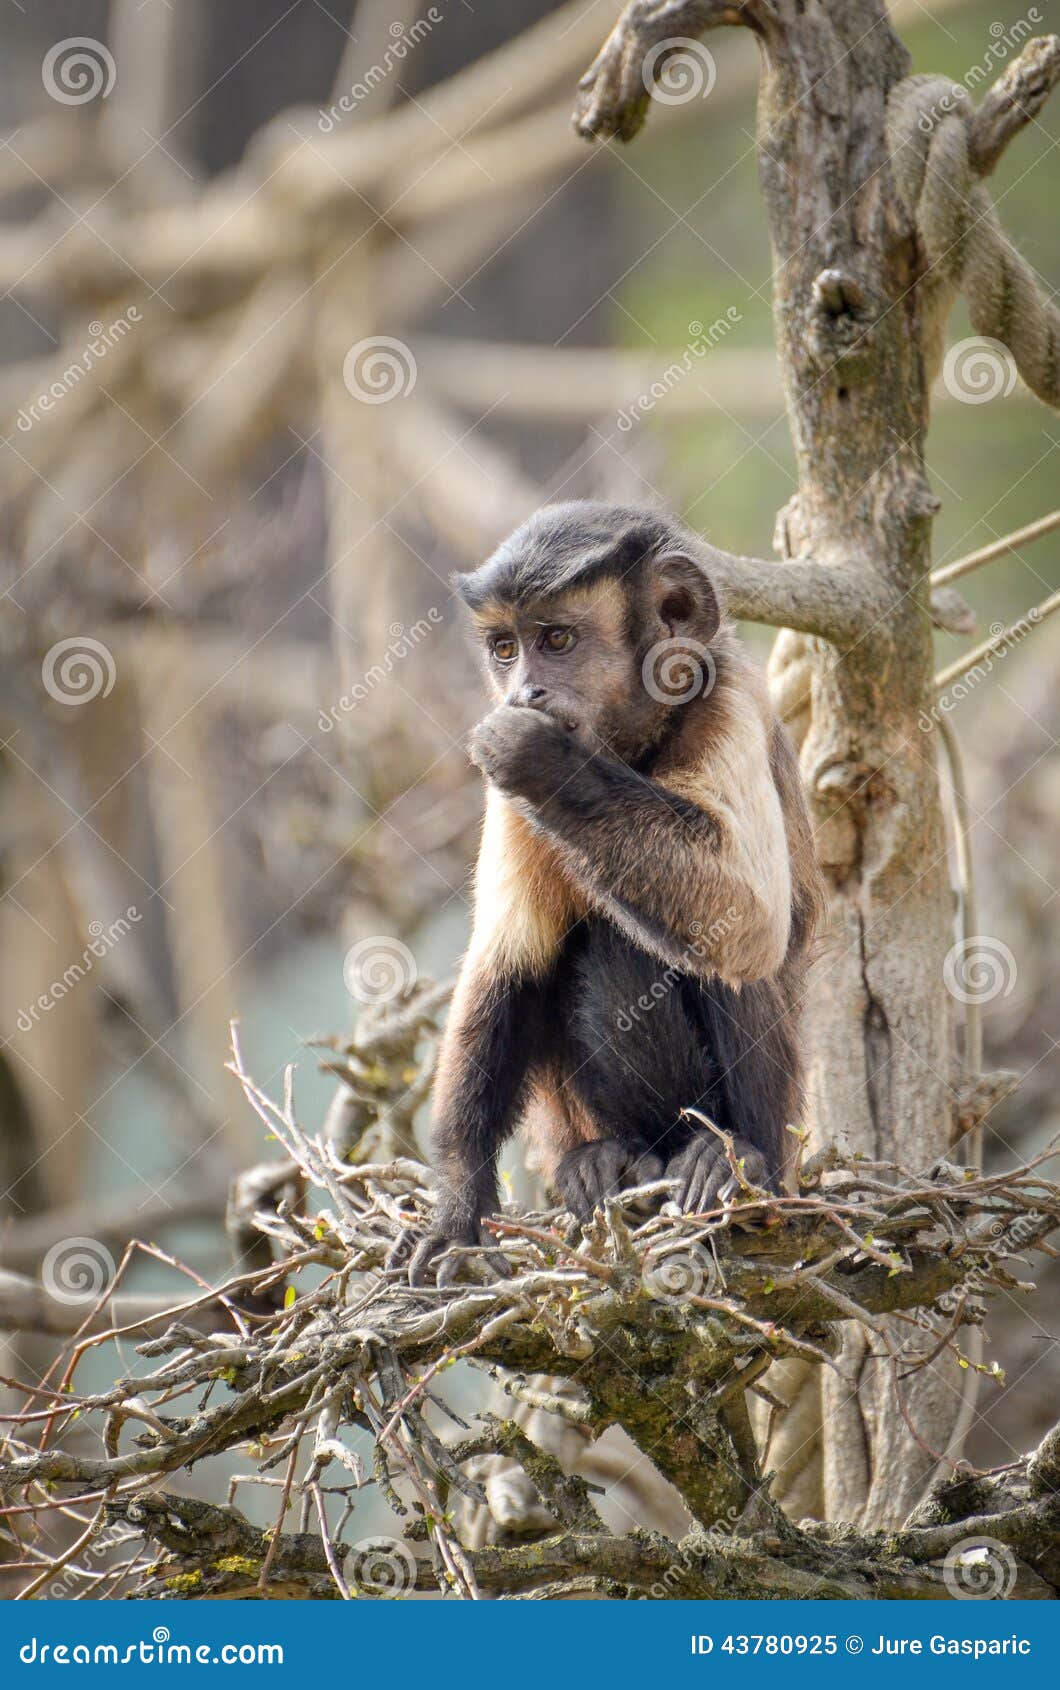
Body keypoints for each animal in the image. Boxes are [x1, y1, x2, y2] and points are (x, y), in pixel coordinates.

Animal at [407, 501, 825, 1284]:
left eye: (557, 640)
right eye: (505, 648)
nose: (524, 692)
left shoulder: (729, 706)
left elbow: (750, 924)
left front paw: (547, 760)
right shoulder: (508, 804)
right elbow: (506, 963)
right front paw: (456, 1207)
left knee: (715, 955)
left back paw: (736, 1159)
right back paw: (602, 1162)